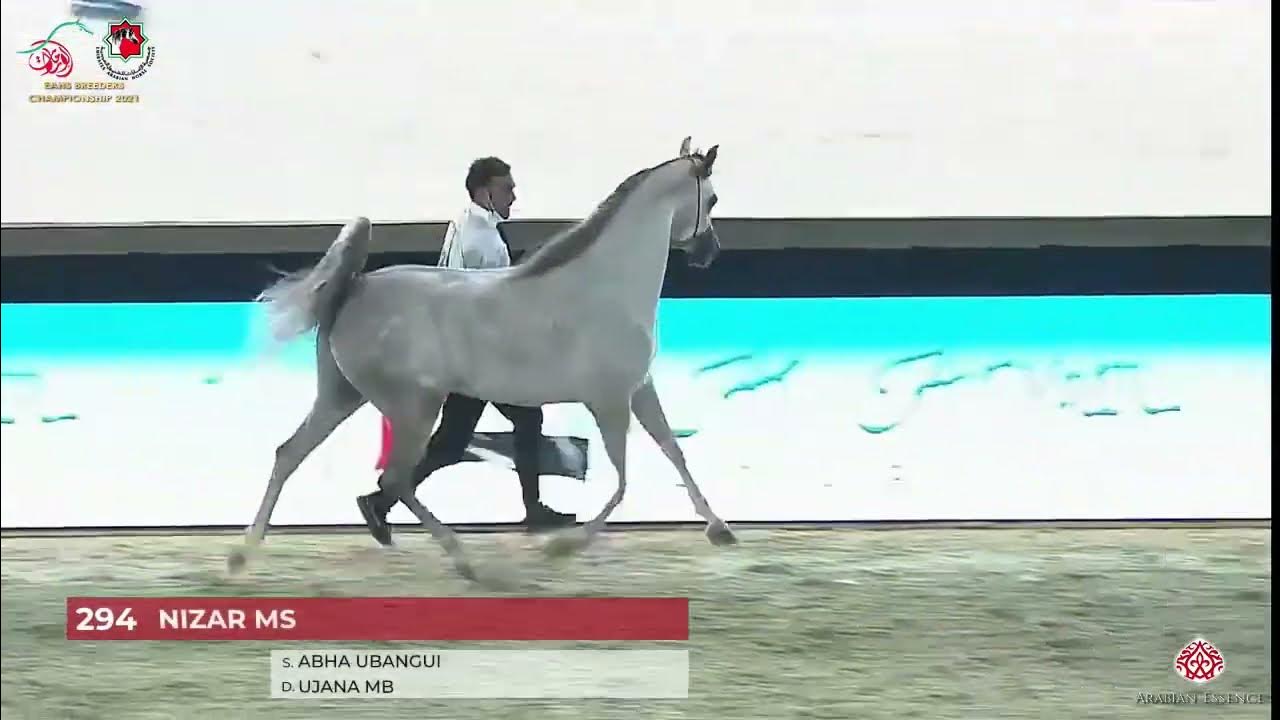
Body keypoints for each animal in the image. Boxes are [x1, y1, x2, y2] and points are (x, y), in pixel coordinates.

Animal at [229, 137, 735, 580]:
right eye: (711, 199)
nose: (710, 253)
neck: (607, 287)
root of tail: (352, 287)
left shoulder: (639, 388)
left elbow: (673, 450)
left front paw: (720, 530)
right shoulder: (609, 400)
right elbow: (624, 482)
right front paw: (564, 546)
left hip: (343, 394)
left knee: (290, 454)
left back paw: (244, 555)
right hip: (413, 407)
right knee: (396, 478)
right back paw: (464, 561)